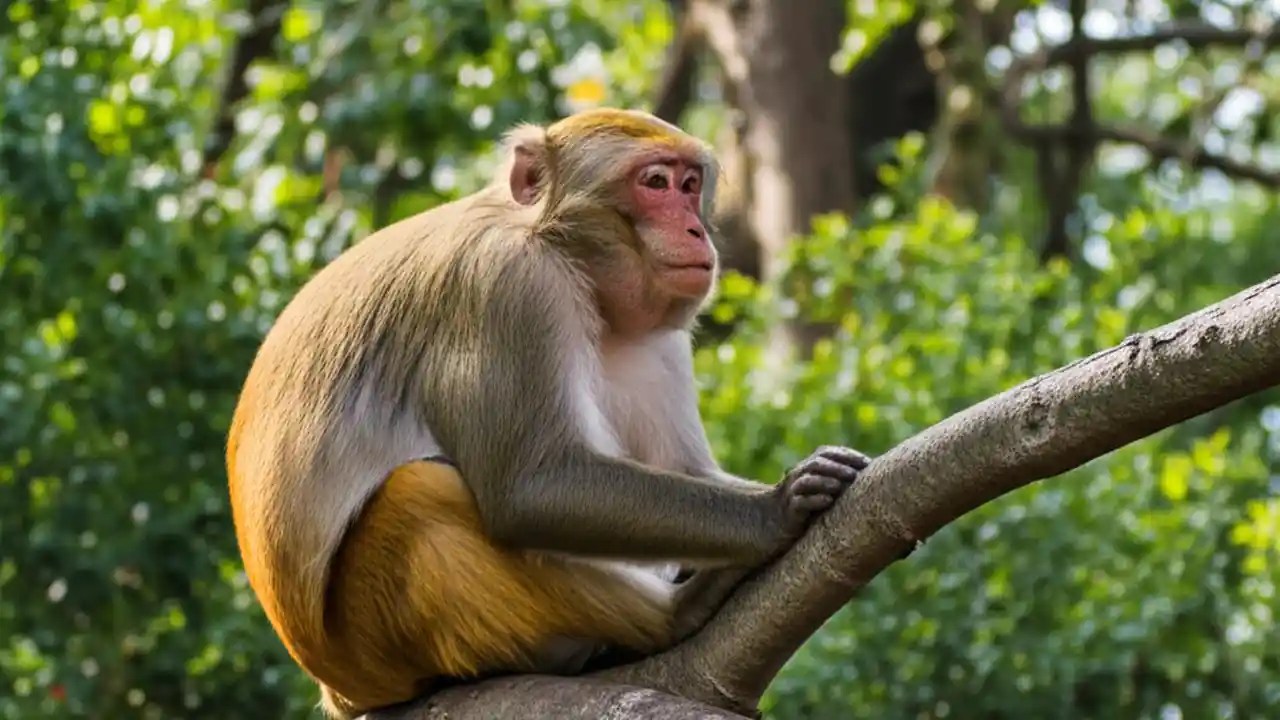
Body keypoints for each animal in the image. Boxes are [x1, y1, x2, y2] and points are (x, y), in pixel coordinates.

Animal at [225, 107, 871, 718]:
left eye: (689, 185)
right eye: (654, 183)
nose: (695, 229)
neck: (562, 252)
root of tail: (338, 690)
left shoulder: (656, 336)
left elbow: (681, 471)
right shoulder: (508, 287)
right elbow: (530, 489)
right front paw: (773, 510)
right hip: (371, 639)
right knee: (416, 496)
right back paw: (676, 614)